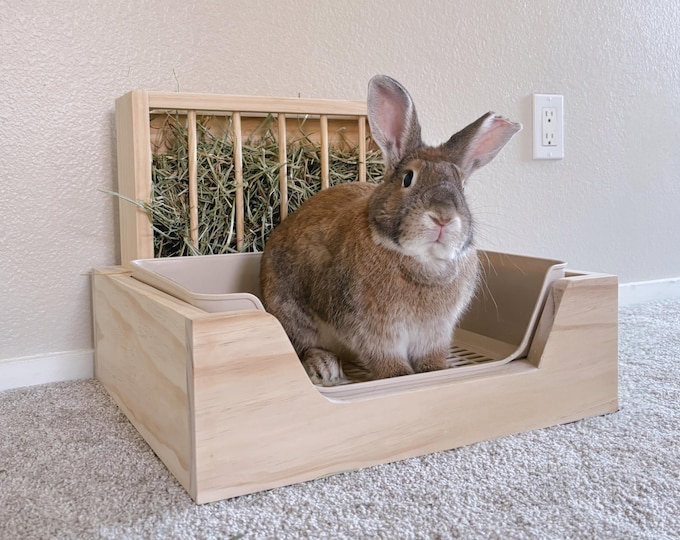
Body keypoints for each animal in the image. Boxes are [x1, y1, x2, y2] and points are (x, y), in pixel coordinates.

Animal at [260, 74, 521, 386]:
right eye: (408, 178)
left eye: (460, 186)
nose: (443, 217)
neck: (423, 261)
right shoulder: (372, 330)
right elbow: (385, 357)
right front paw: (397, 375)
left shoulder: (435, 332)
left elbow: (430, 356)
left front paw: (436, 370)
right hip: (290, 311)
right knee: (303, 345)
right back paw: (324, 368)